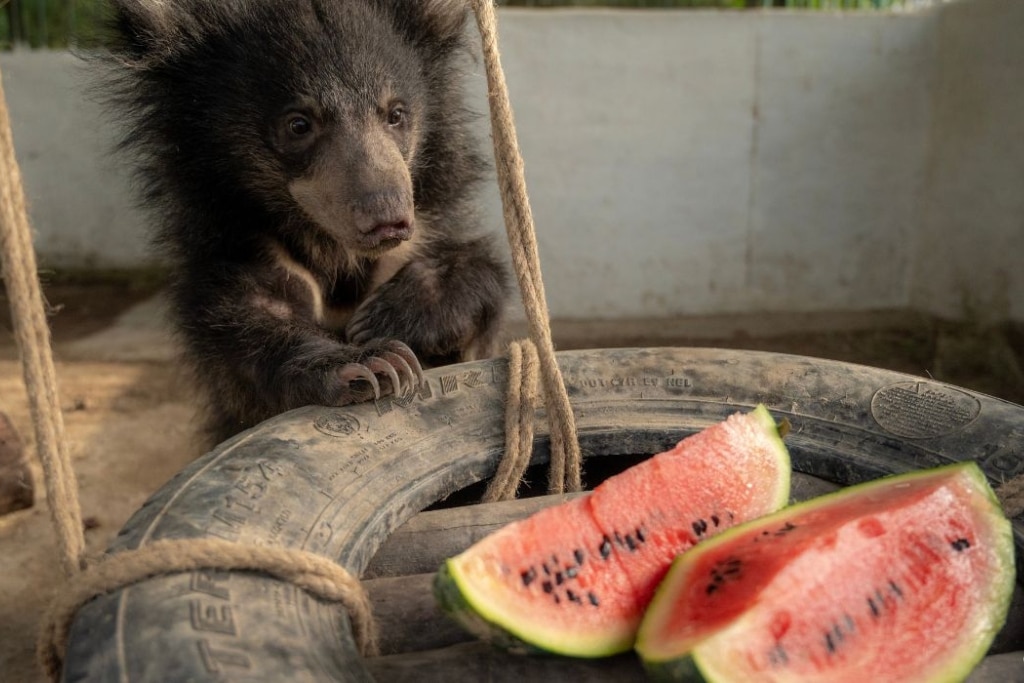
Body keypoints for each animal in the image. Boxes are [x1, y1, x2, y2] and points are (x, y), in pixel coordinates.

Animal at [99, 0, 511, 446]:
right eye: (299, 124)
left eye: (396, 114)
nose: (387, 220)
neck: (333, 249)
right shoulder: (240, 248)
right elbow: (249, 332)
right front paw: (371, 363)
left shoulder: (427, 227)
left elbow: (476, 286)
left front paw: (392, 316)